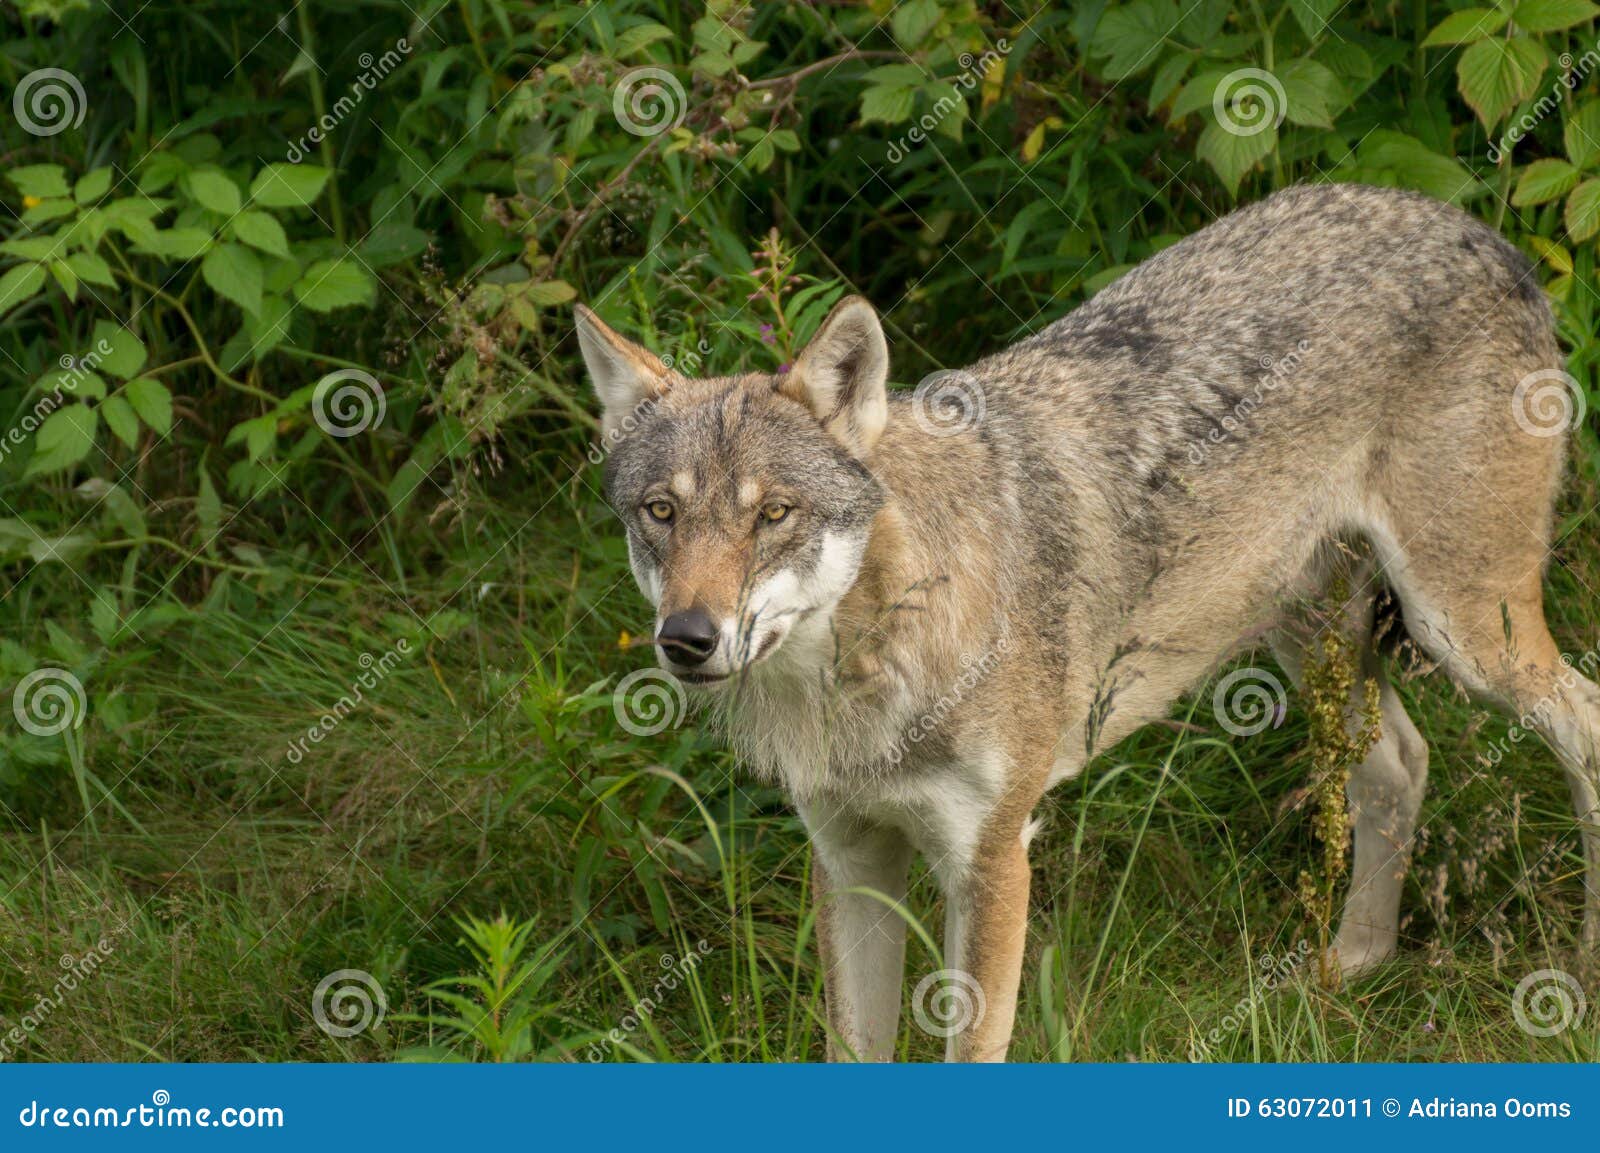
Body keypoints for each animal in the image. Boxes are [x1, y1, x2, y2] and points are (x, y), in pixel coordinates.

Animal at [574, 183, 1598, 1061]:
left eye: (773, 514)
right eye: (661, 513)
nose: (687, 637)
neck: (865, 672)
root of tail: (1473, 227)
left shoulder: (993, 861)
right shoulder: (849, 856)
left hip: (1465, 632)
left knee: (1581, 726)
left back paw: (1581, 972)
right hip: (1308, 637)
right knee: (1402, 763)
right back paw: (1350, 966)